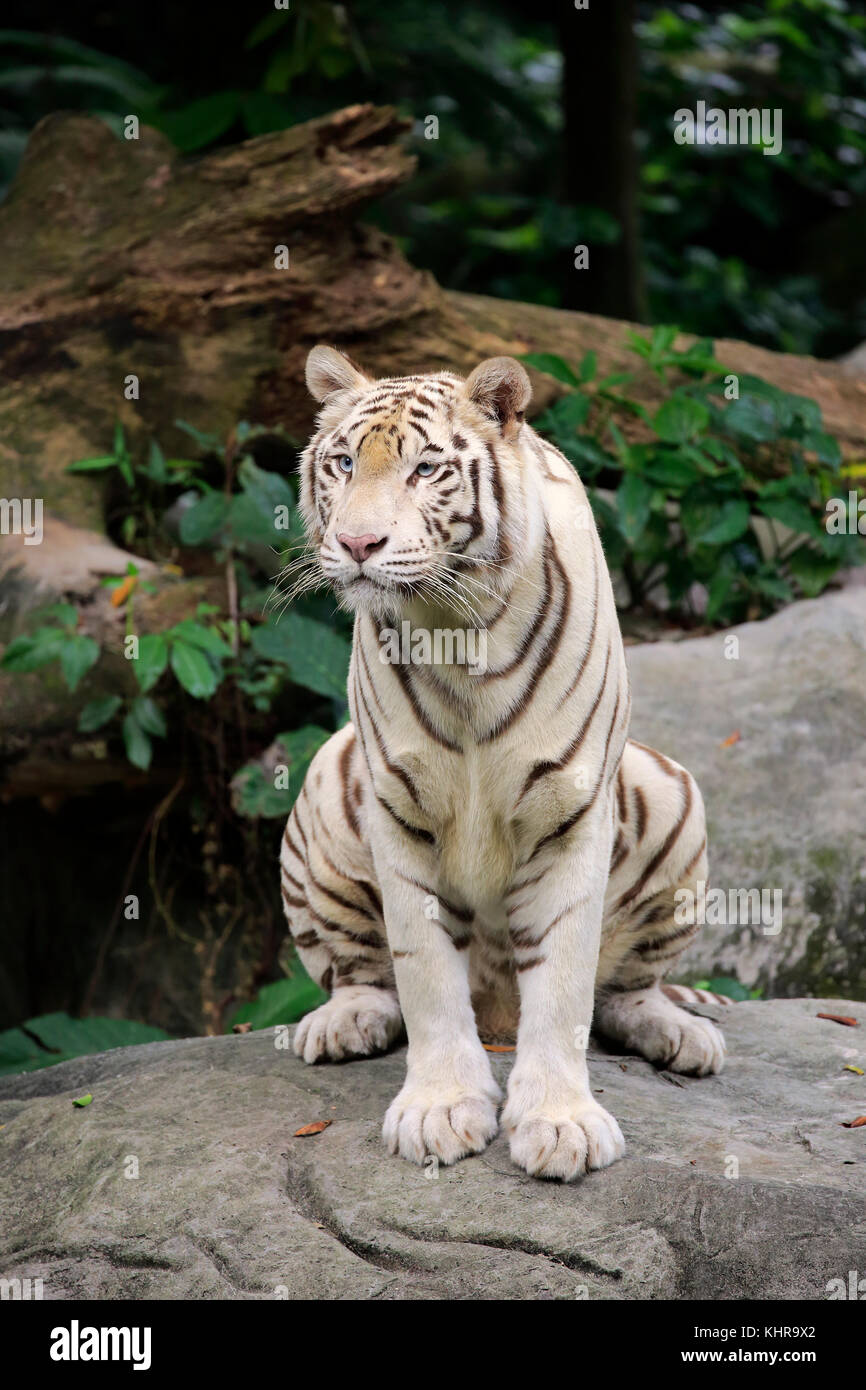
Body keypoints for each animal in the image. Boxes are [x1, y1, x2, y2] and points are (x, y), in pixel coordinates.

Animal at [278, 344, 725, 1182]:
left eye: (424, 468)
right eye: (345, 463)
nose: (357, 546)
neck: (451, 627)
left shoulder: (573, 812)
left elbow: (564, 986)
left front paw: (560, 1123)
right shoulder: (397, 810)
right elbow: (423, 973)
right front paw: (441, 1108)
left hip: (672, 794)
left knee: (629, 988)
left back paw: (682, 1035)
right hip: (323, 780)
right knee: (360, 971)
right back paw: (344, 1022)